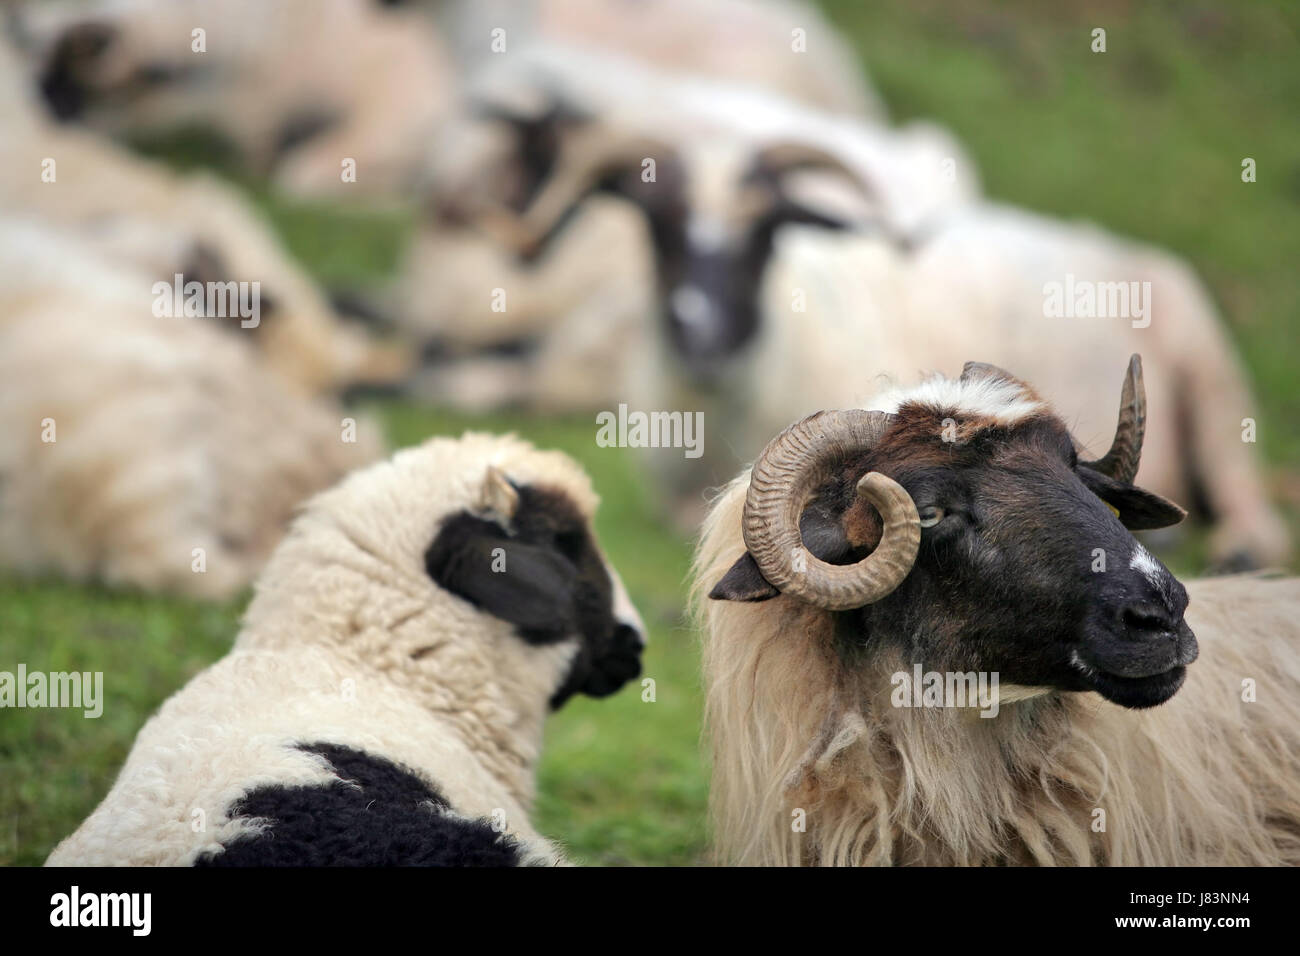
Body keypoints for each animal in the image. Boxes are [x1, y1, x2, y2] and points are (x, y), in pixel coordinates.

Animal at [17, 0, 457, 199]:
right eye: (48, 80)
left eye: (65, 84)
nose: (51, 111)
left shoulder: (250, 106)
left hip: (373, 134)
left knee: (310, 172)